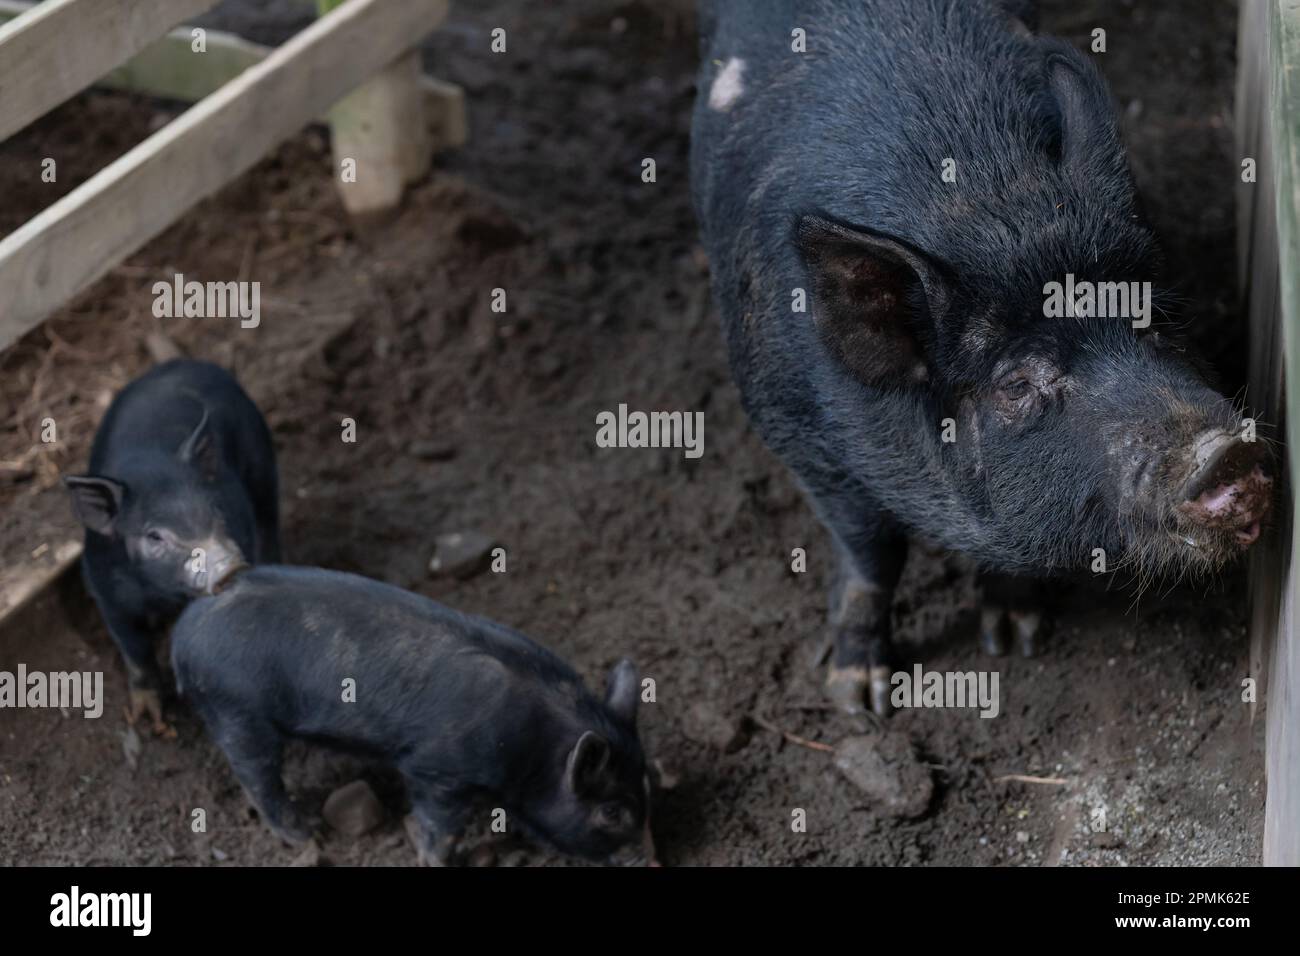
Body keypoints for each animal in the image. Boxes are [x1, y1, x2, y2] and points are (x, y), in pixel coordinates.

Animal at [63, 359, 280, 733]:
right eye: (155, 536)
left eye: (215, 509)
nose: (228, 564)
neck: (162, 595)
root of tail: (188, 362)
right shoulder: (104, 589)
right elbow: (134, 651)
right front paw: (152, 723)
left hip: (262, 464)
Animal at [170, 565, 654, 866]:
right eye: (611, 812)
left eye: (647, 785)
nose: (651, 859)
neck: (536, 745)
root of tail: (184, 631)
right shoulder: (439, 769)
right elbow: (441, 824)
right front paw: (433, 857)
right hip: (238, 710)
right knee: (255, 774)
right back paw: (308, 837)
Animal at [689, 0, 1272, 715]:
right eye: (1017, 384)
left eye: (1152, 319)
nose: (1228, 450)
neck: (981, 201)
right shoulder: (801, 437)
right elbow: (870, 556)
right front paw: (860, 699)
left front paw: (1018, 638)